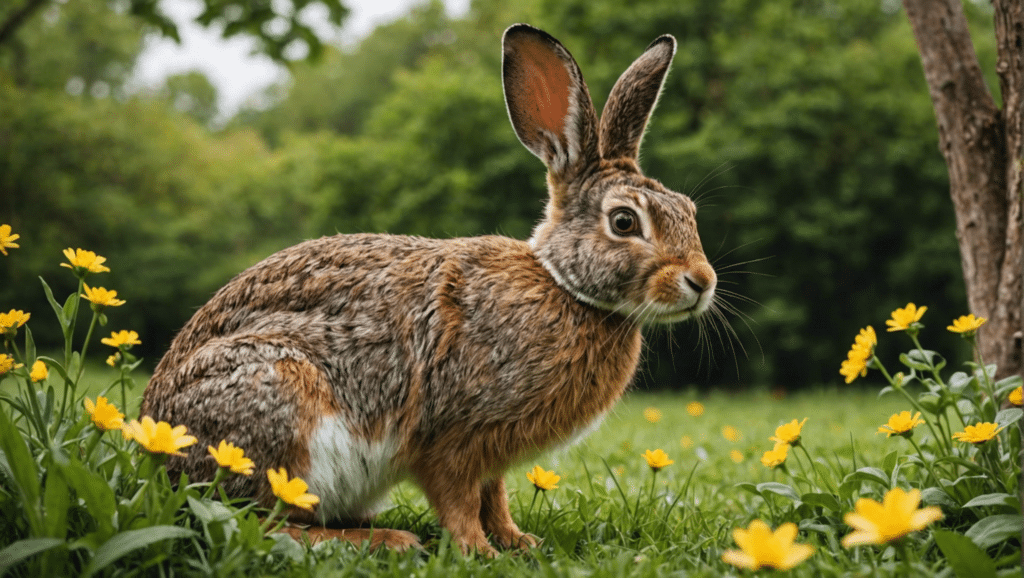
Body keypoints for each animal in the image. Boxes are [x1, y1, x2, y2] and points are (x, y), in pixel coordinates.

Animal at [140, 23, 717, 556]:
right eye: (624, 222)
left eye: (688, 210)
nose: (702, 282)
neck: (563, 285)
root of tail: (157, 446)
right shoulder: (453, 436)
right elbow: (458, 498)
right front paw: (479, 551)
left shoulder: (490, 453)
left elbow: (494, 496)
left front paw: (518, 541)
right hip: (279, 404)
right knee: (256, 520)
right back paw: (387, 540)